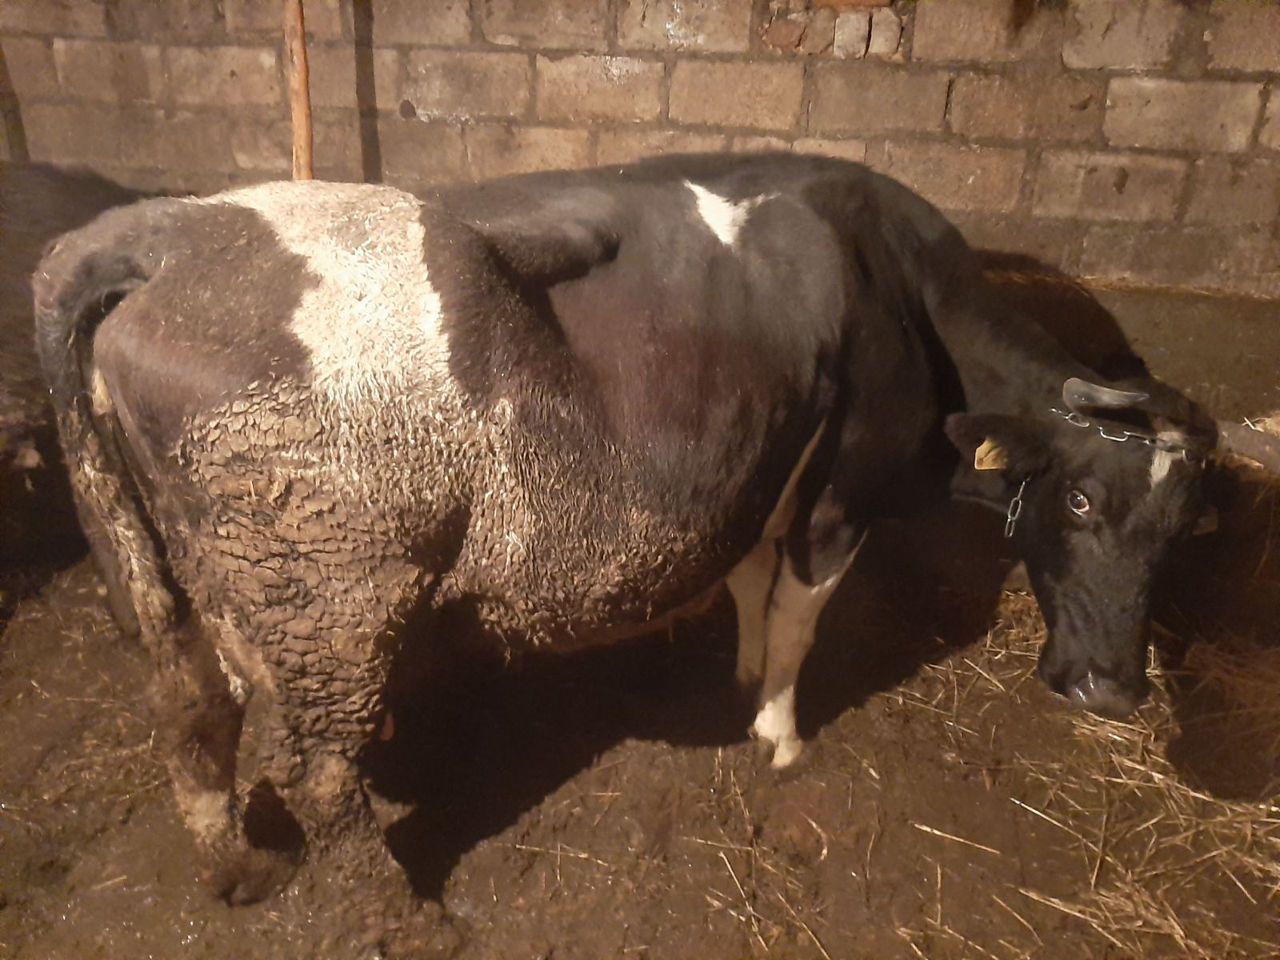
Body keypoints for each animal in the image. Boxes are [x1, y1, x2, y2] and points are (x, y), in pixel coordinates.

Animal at [33, 153, 1278, 916]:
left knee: (194, 714)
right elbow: (794, 616)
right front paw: (777, 732)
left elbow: (742, 580)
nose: (1111, 690)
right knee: (316, 771)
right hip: (331, 600)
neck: (896, 285)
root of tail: (166, 232)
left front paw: (734, 678)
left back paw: (237, 866)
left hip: (182, 583)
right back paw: (398, 912)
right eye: (1079, 502)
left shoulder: (756, 464)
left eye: (1183, 527)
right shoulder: (838, 497)